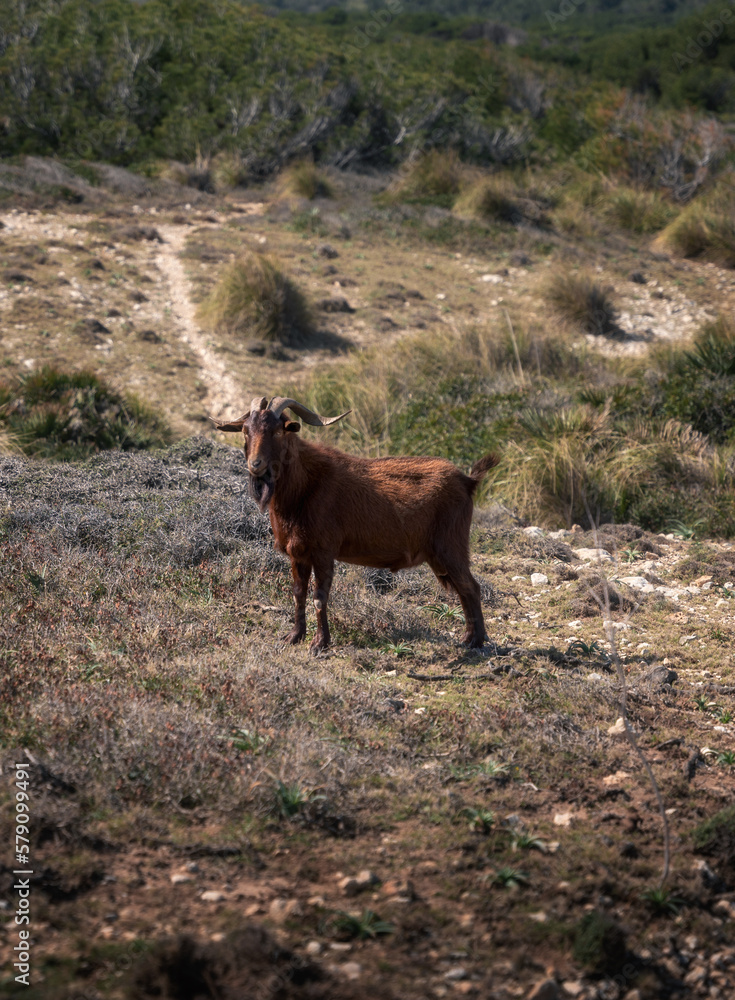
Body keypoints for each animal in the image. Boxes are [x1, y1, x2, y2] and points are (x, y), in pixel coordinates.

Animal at [214, 396, 498, 653]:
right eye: (245, 430)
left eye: (277, 430)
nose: (255, 465)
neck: (304, 487)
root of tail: (468, 481)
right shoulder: (298, 553)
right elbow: (298, 592)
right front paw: (294, 636)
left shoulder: (324, 550)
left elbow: (319, 598)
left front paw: (319, 644)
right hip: (439, 556)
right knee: (463, 589)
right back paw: (468, 638)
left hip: (451, 545)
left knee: (471, 587)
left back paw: (475, 642)